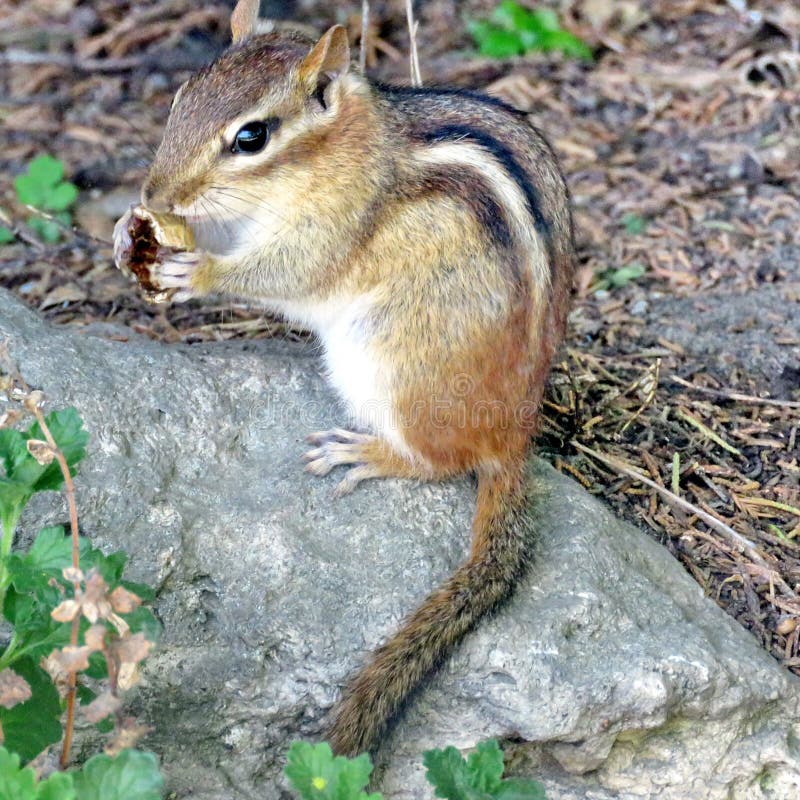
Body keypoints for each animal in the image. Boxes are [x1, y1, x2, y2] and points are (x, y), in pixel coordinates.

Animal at [120, 0, 575, 757]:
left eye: (251, 137)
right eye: (182, 96)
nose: (156, 192)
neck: (339, 149)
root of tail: (513, 436)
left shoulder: (331, 228)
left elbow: (286, 272)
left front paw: (198, 270)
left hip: (388, 366)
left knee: (440, 462)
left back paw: (368, 452)